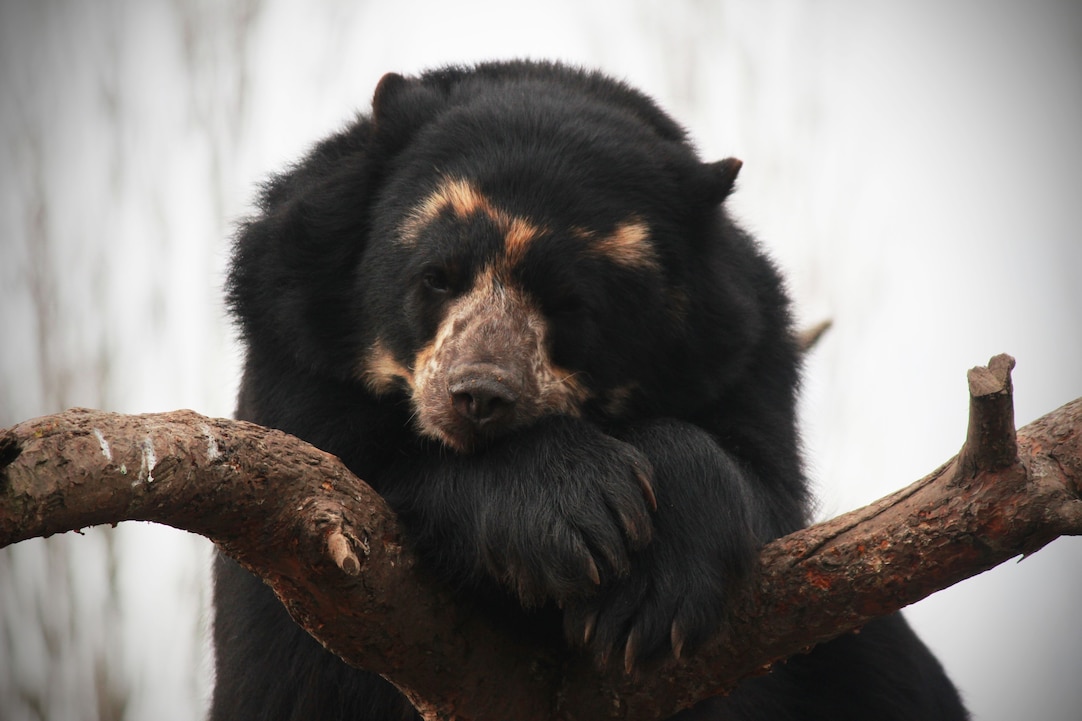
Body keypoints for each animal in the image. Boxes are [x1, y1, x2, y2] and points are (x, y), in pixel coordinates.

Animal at [215, 60, 968, 720]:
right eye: (437, 276)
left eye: (572, 303)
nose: (478, 396)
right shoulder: (293, 345)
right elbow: (344, 470)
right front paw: (579, 514)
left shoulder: (744, 356)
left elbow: (761, 485)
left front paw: (647, 604)